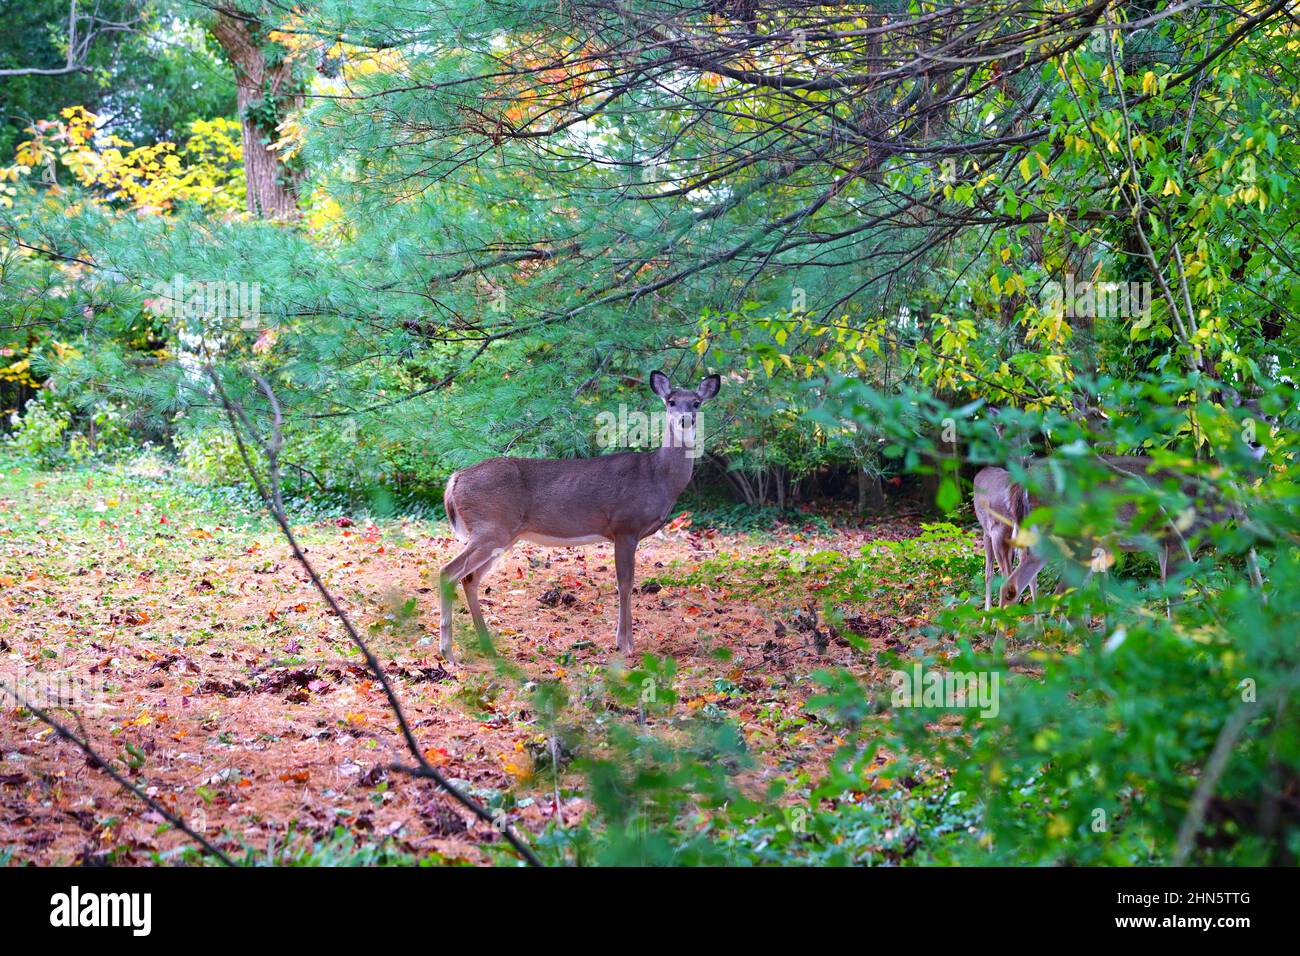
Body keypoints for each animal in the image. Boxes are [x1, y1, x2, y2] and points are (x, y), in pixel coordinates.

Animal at [437, 370, 721, 661]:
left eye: (696, 402)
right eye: (671, 401)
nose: (686, 419)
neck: (658, 476)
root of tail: (455, 479)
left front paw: (626, 641)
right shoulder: (625, 526)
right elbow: (625, 583)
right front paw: (625, 644)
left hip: (502, 535)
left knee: (470, 578)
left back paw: (487, 646)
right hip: (490, 527)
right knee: (448, 572)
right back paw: (448, 651)